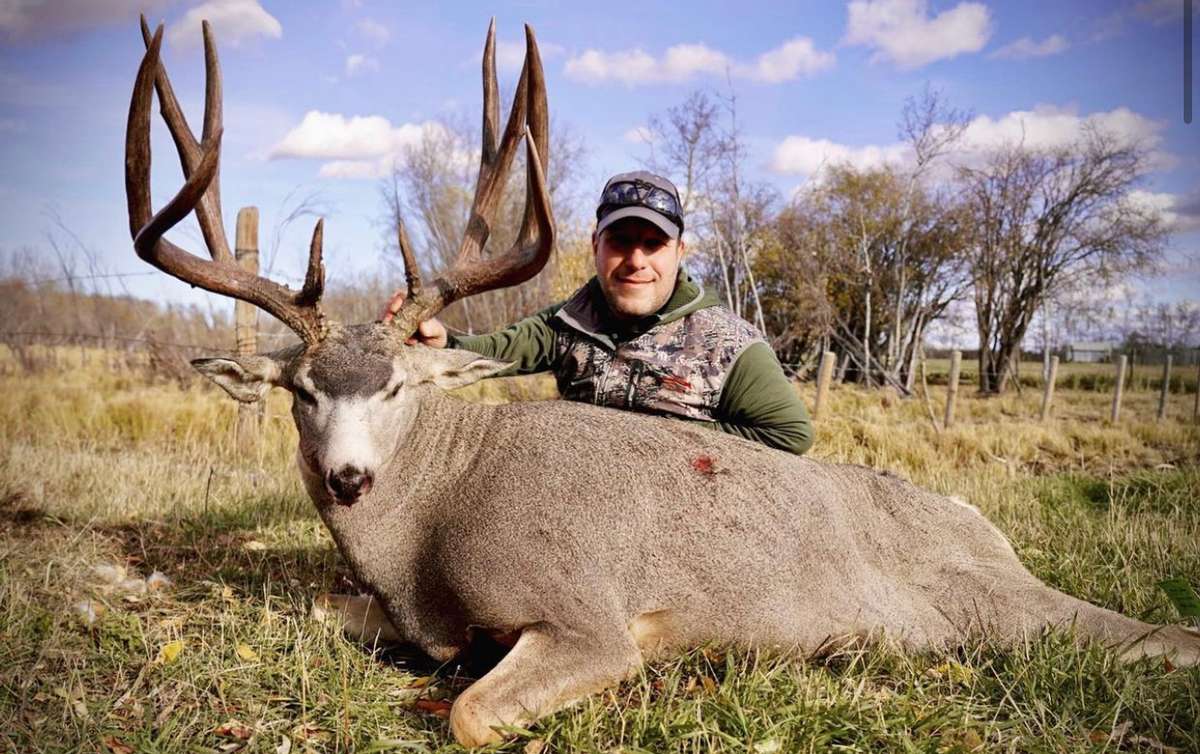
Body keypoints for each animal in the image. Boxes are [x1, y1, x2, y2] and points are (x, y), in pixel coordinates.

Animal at [125, 17, 1200, 749]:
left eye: (397, 389)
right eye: (302, 390)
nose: (349, 478)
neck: (428, 533)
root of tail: (986, 528)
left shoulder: (586, 615)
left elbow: (469, 711)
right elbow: (317, 608)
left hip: (997, 606)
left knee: (1146, 633)